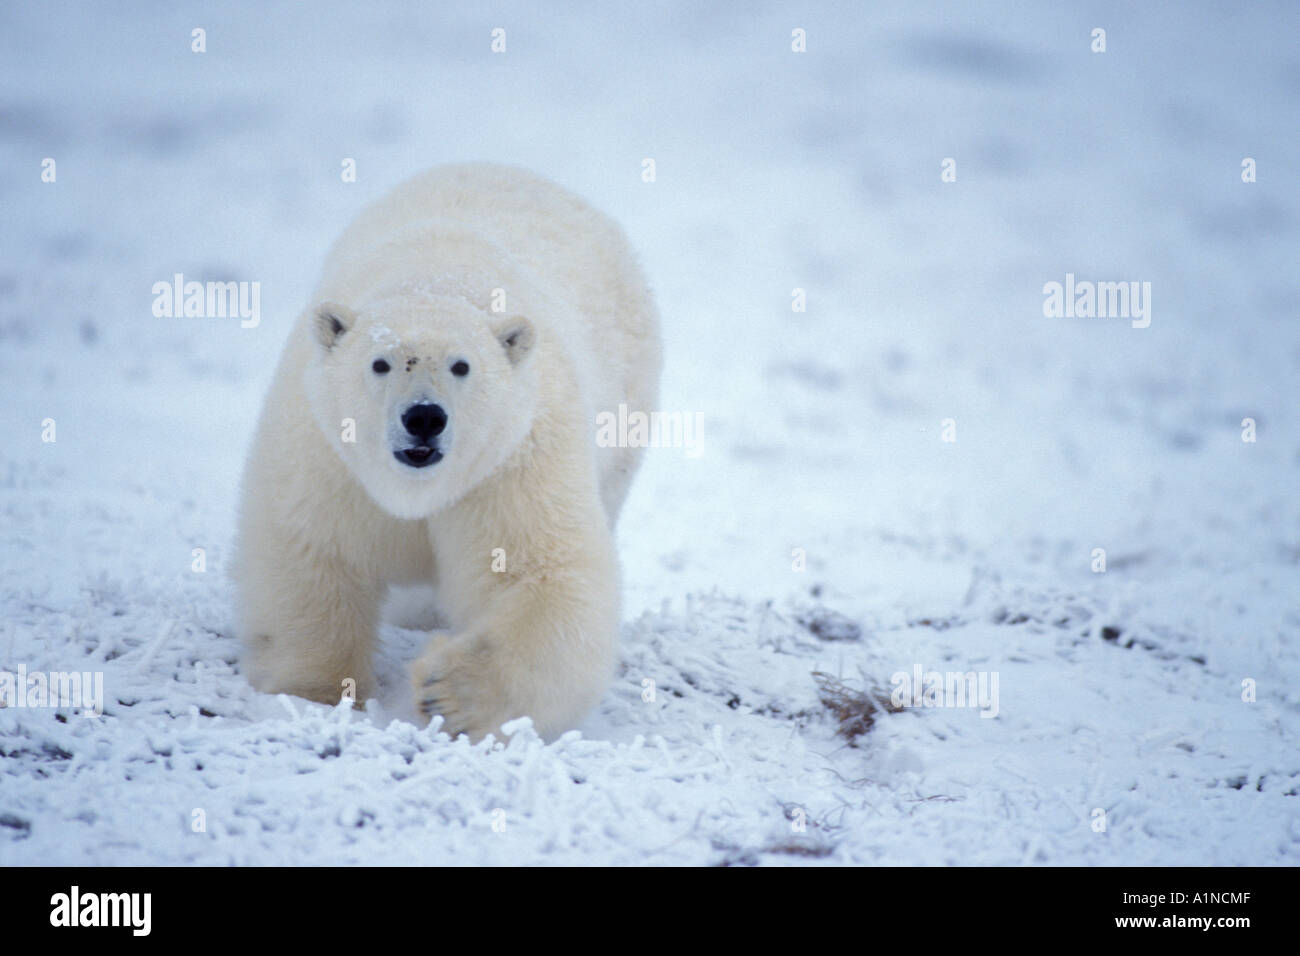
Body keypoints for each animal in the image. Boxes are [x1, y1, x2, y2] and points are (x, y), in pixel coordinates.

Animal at [232, 163, 661, 741]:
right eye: (381, 363)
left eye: (462, 366)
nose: (424, 418)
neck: (433, 280)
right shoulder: (327, 453)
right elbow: (311, 548)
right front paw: (316, 689)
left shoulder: (512, 457)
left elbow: (540, 571)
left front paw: (447, 693)